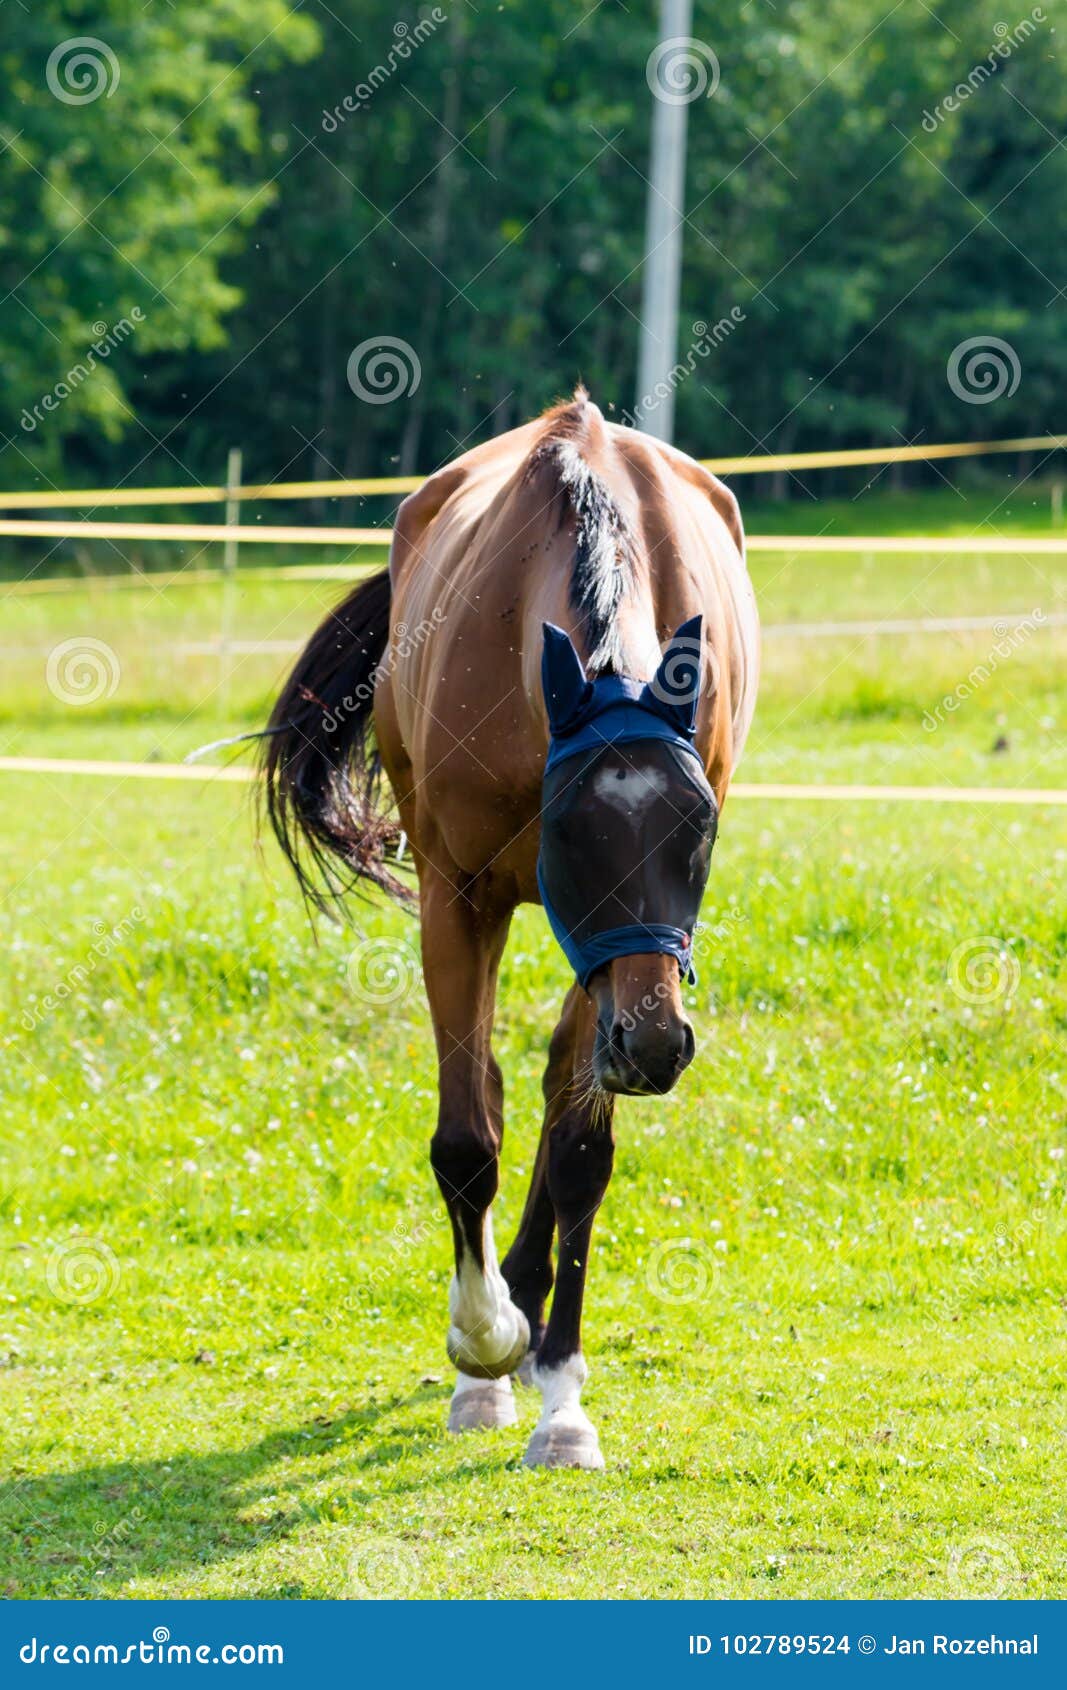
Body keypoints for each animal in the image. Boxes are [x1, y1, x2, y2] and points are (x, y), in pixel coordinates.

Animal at [262, 389, 759, 1469]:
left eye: (699, 827)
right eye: (570, 831)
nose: (657, 1047)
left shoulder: (608, 959)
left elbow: (576, 1150)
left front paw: (561, 1395)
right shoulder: (459, 902)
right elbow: (465, 1137)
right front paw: (479, 1352)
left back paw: (529, 1302)